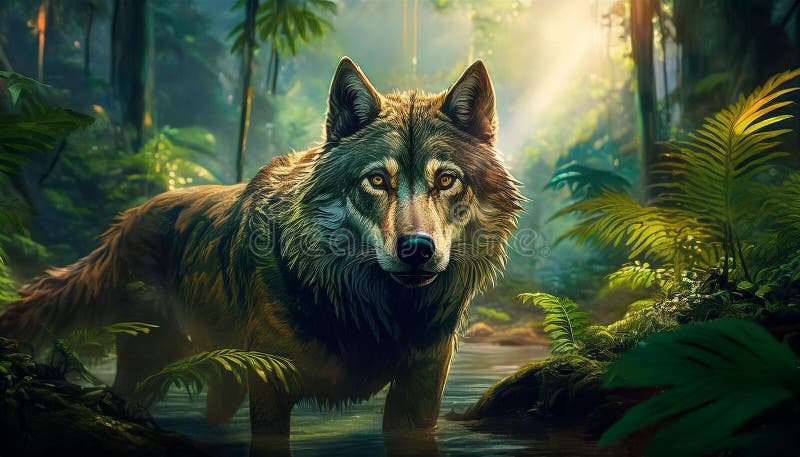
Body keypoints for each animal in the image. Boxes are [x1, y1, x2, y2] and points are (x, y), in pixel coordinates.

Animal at [0, 57, 522, 438]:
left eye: (446, 180)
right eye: (377, 180)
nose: (417, 248)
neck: (371, 310)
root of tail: (127, 219)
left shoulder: (421, 386)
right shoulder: (271, 381)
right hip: (152, 359)